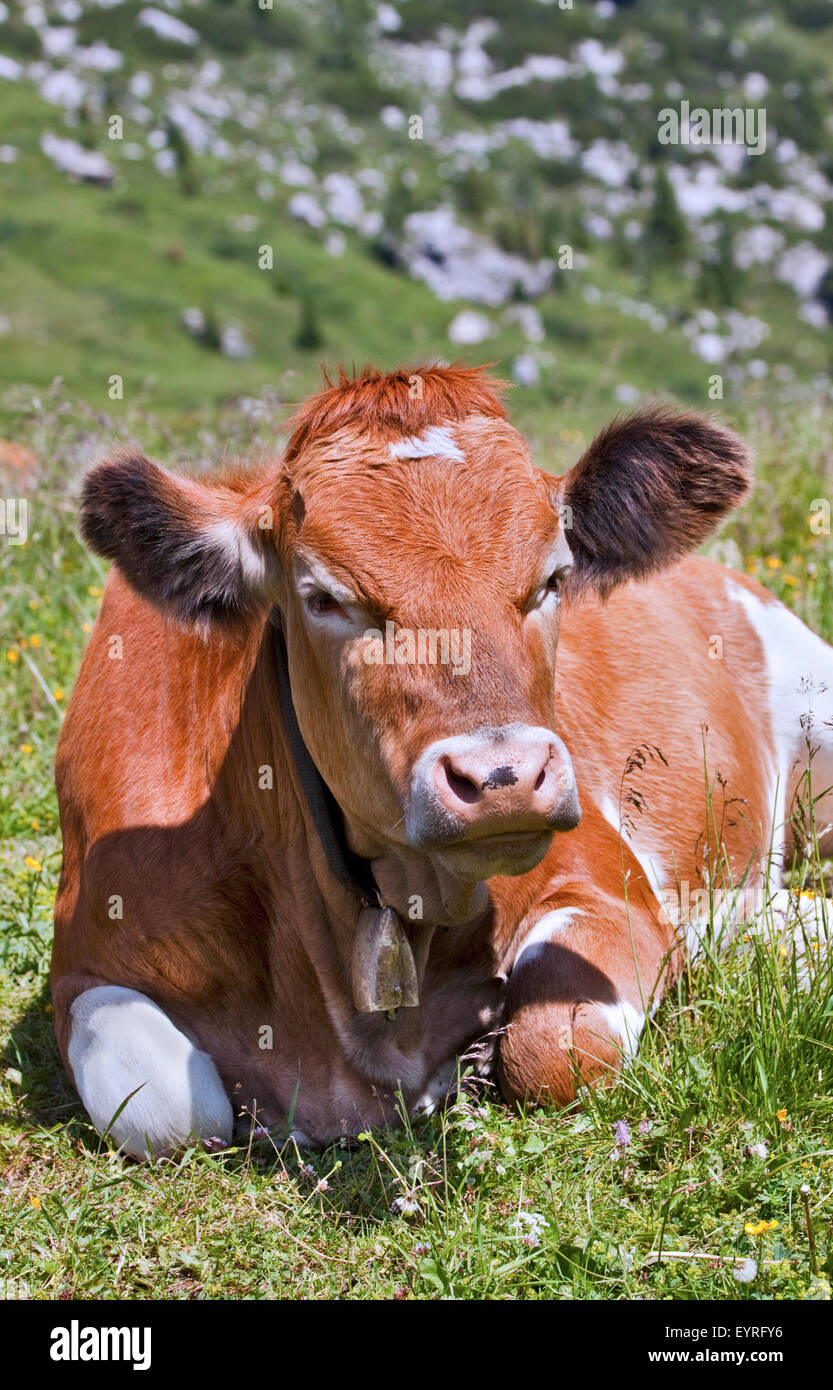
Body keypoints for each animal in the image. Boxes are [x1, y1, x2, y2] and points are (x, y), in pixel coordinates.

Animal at [51, 364, 833, 1158]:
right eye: (323, 597)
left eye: (554, 577)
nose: (503, 778)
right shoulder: (83, 966)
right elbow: (172, 1111)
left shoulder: (609, 887)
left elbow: (555, 1046)